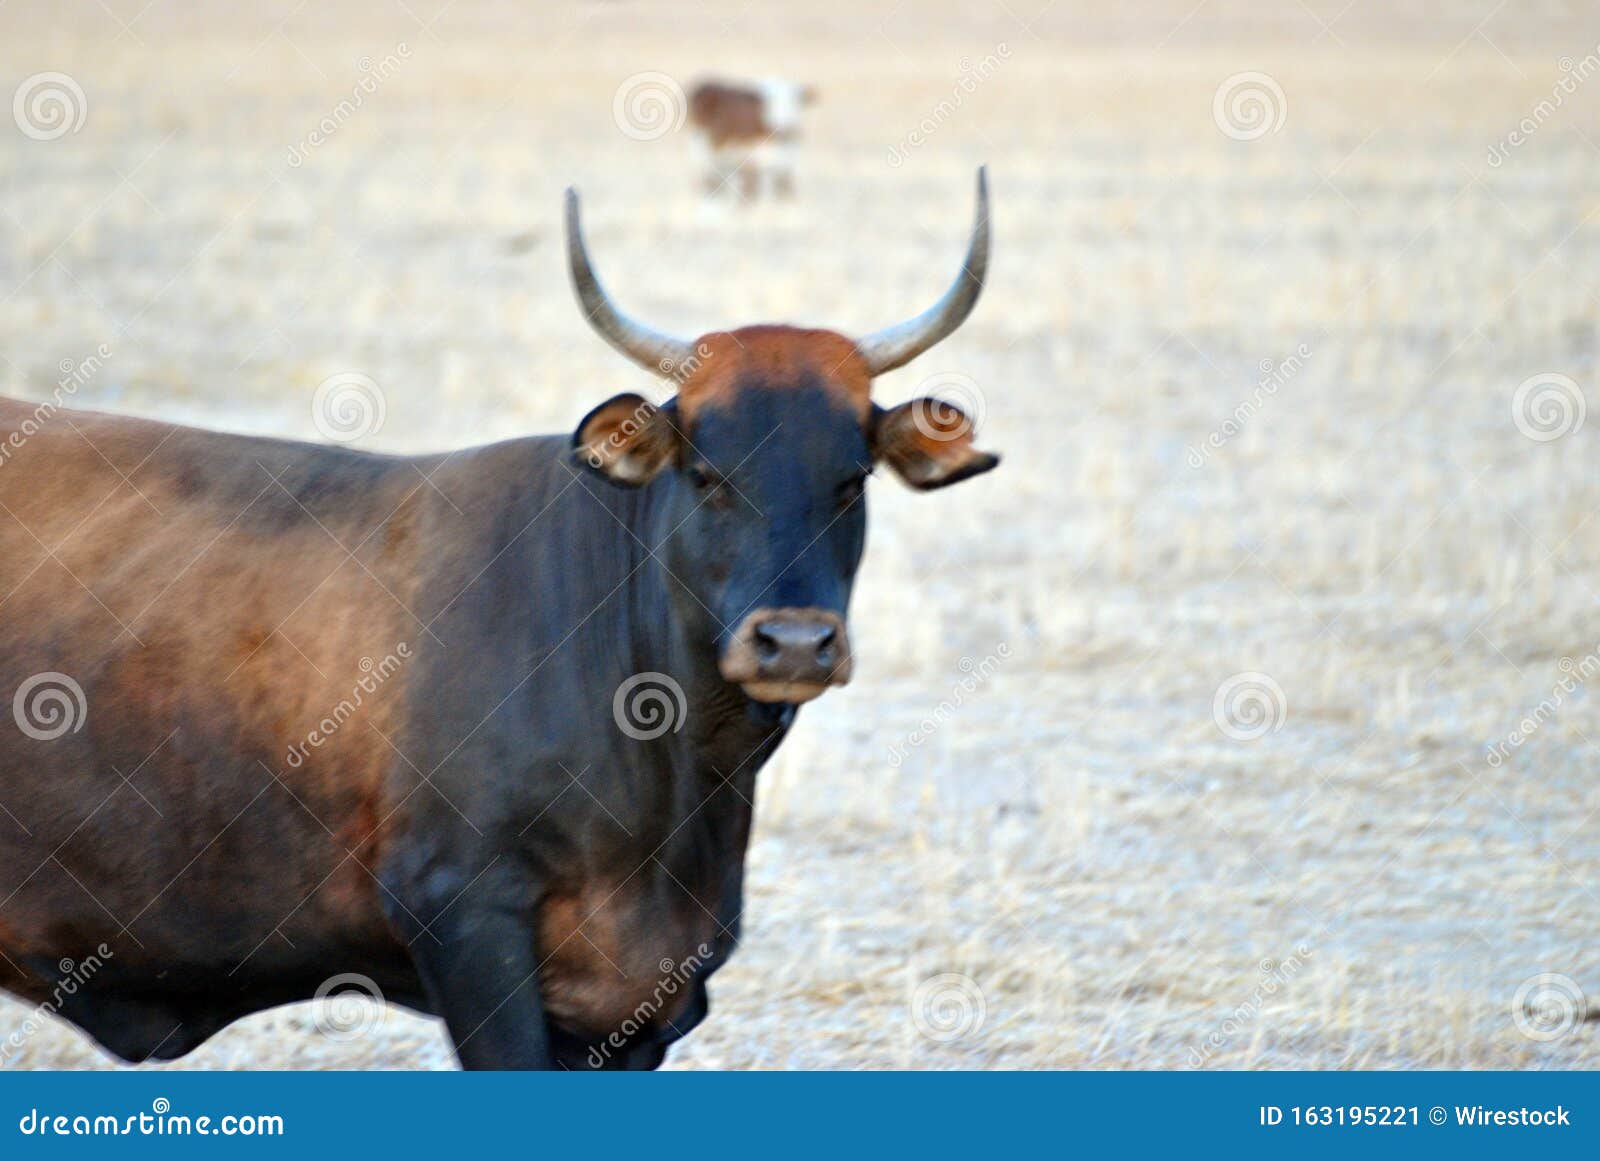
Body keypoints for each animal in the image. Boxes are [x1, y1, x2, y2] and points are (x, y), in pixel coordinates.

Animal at [687, 77, 817, 201]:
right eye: (770, 104)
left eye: (797, 103)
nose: (785, 124)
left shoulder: (788, 154)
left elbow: (780, 176)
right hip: (704, 139)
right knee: (705, 164)